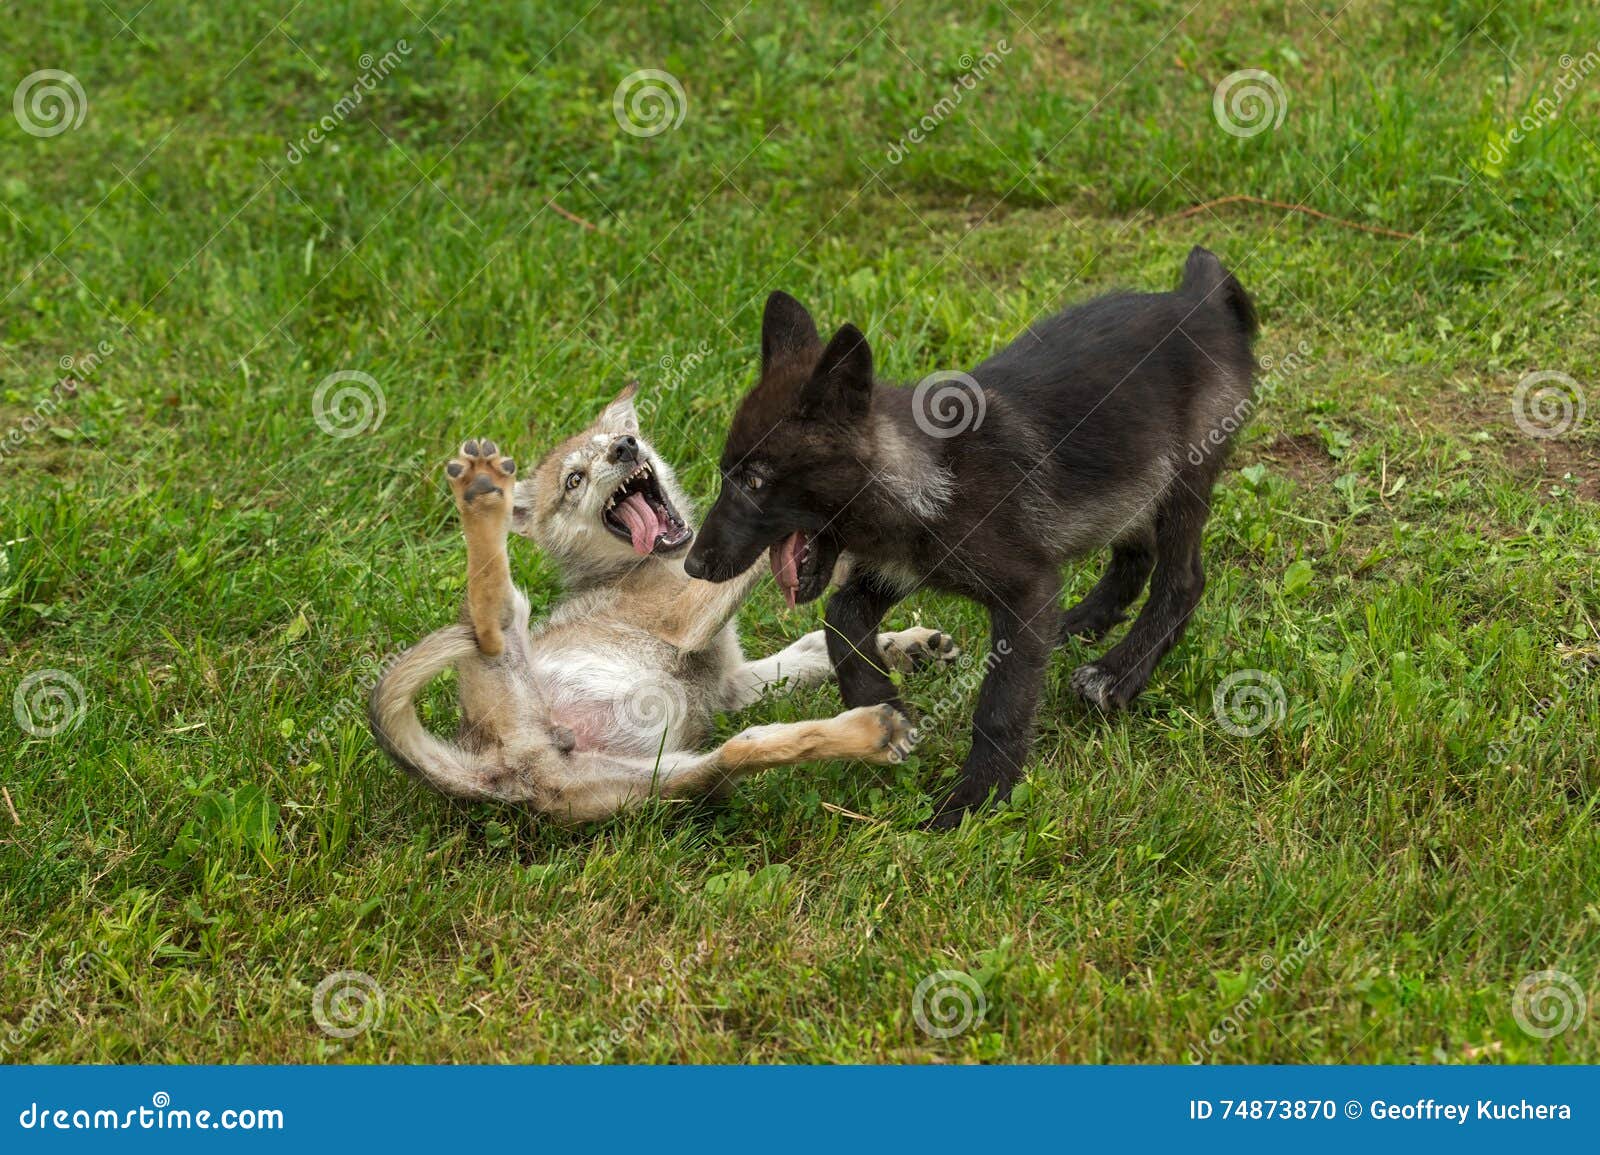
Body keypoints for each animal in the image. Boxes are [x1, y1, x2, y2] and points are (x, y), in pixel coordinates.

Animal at [367, 385, 958, 823]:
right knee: (489, 614)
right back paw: (481, 492)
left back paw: (873, 731)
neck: (648, 565)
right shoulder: (686, 621)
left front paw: (910, 646)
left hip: (671, 778)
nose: (625, 449)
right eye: (574, 479)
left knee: (745, 746)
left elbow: (813, 646)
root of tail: (495, 769)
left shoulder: (729, 684)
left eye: (622, 438)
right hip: (507, 631)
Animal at [683, 247, 1257, 827]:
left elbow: (1002, 705)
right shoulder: (900, 569)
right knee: (1136, 555)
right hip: (1133, 483)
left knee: (1183, 579)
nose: (693, 566)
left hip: (1181, 481)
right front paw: (880, 700)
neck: (934, 477)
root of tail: (1197, 299)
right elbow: (839, 617)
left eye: (756, 481)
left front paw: (978, 796)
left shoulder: (1027, 589)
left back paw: (1119, 672)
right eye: (727, 474)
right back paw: (1086, 623)